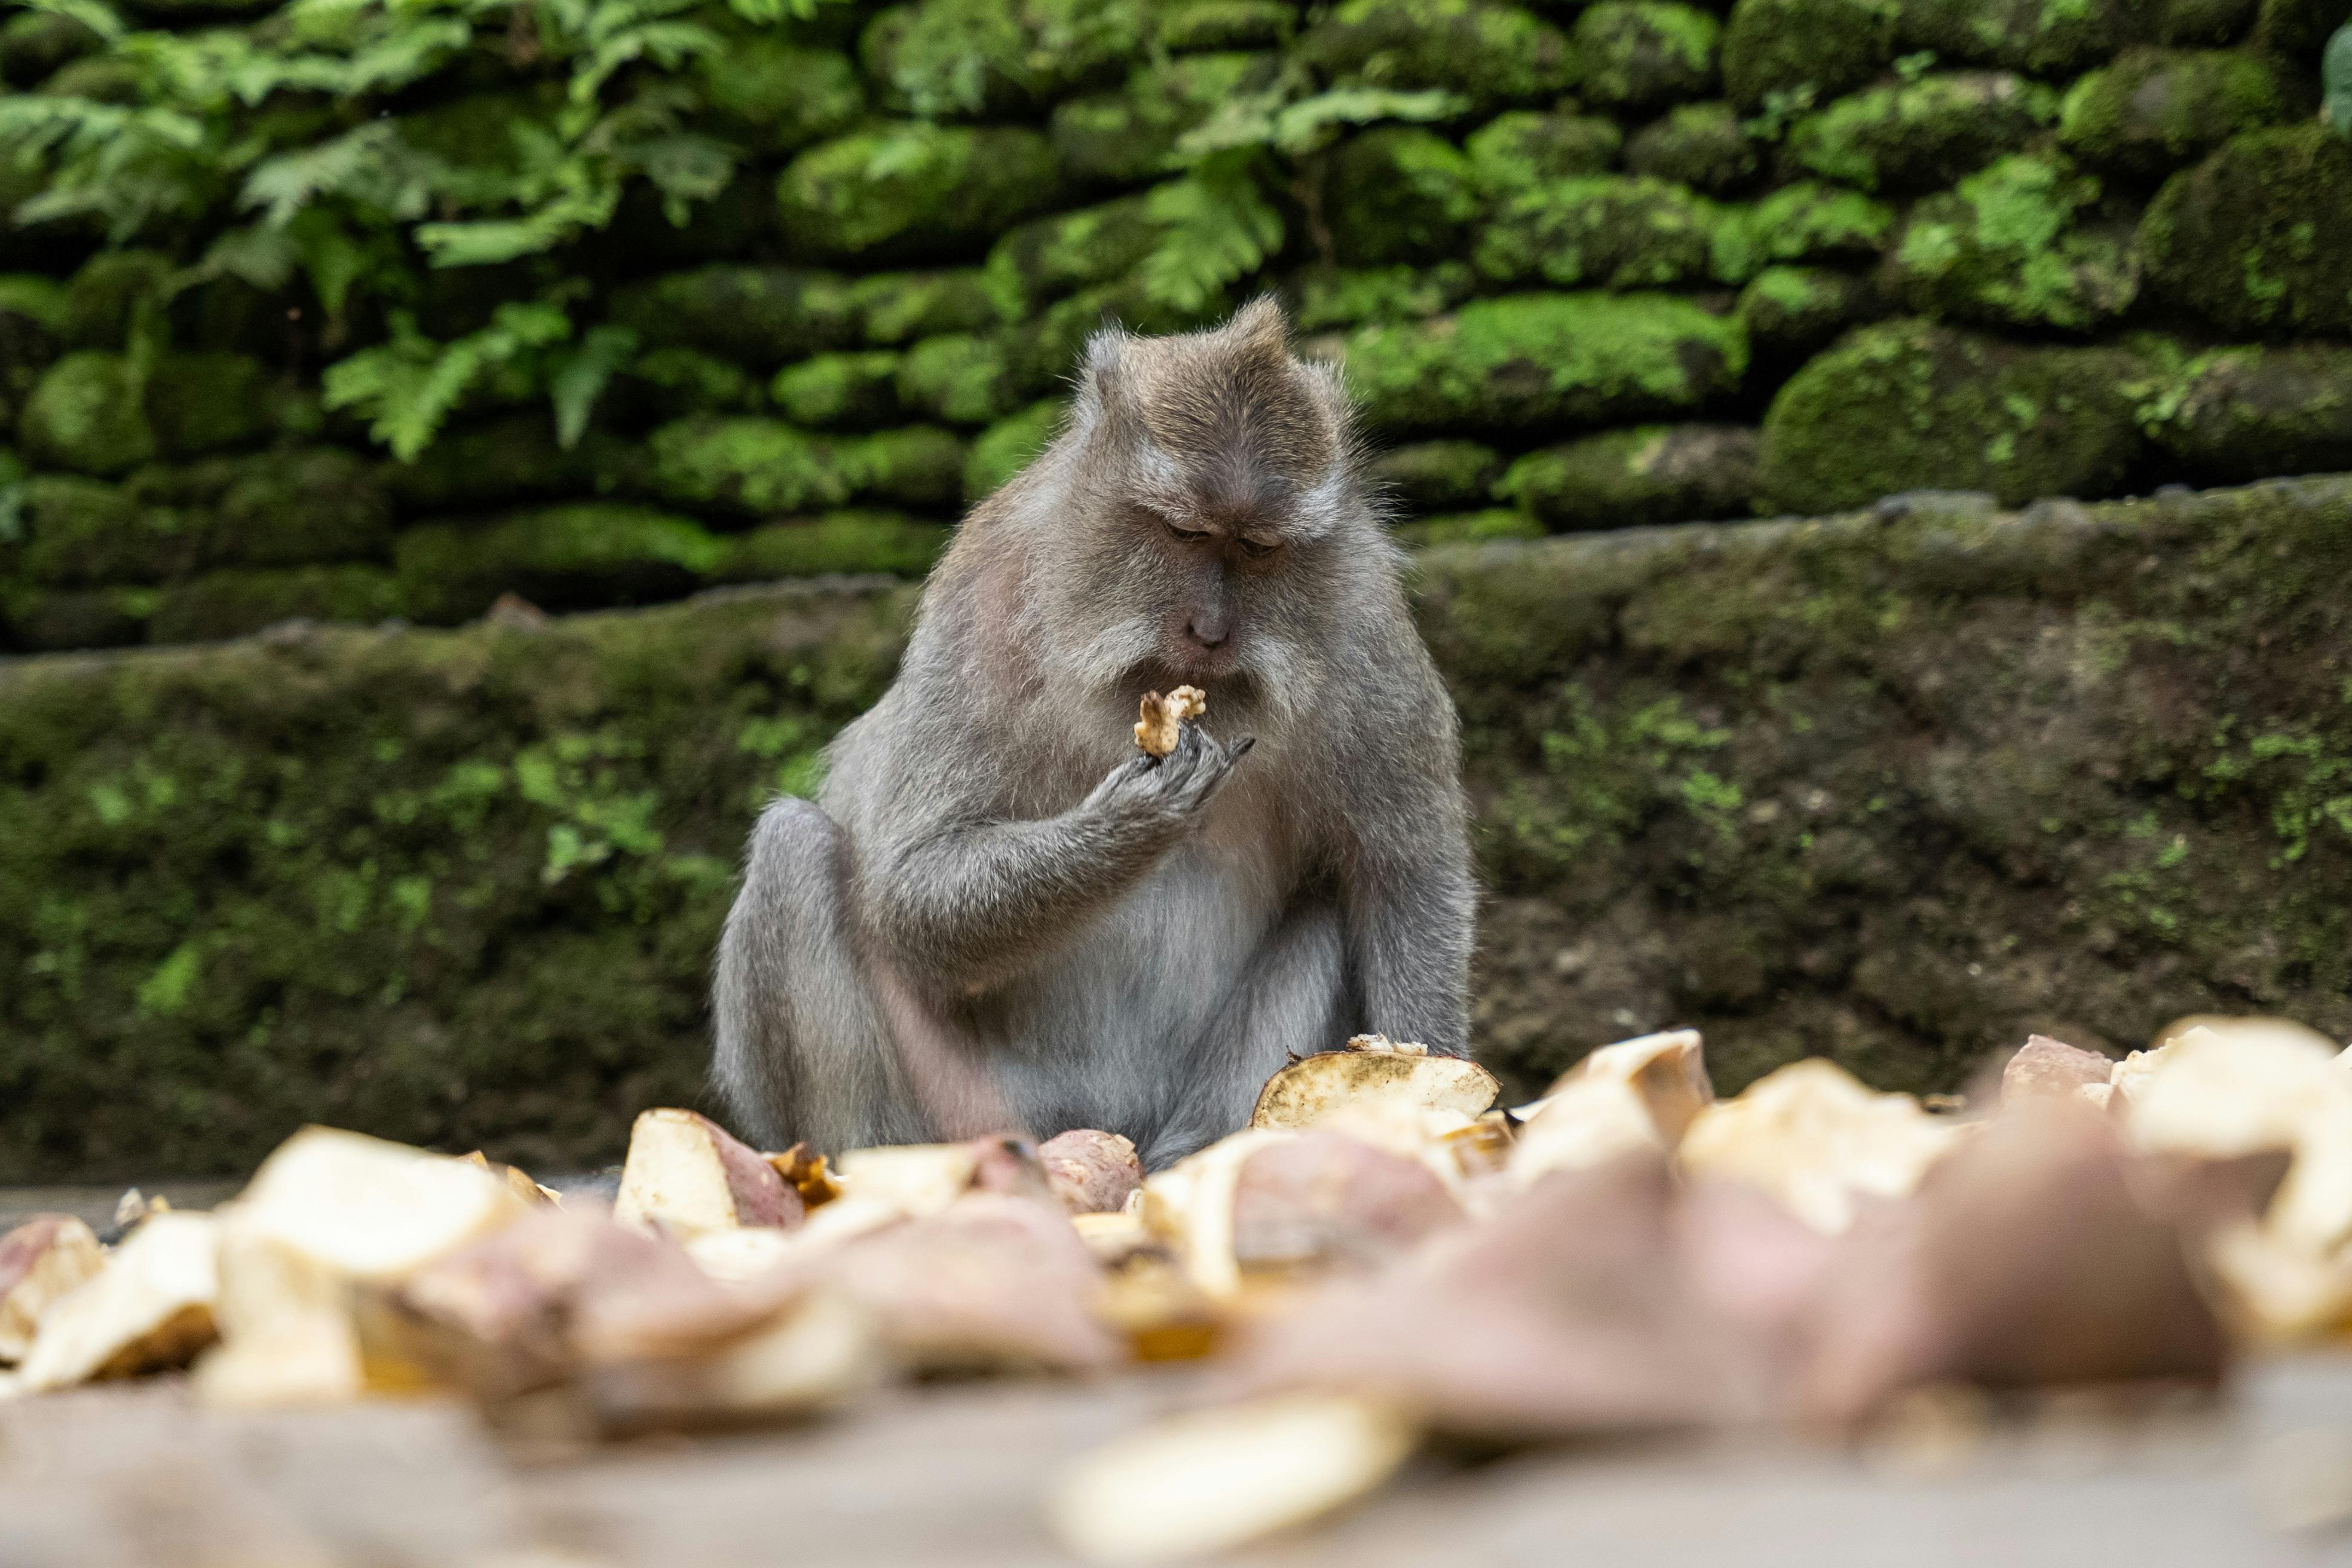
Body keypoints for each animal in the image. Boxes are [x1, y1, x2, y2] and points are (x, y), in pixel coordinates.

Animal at [712, 298, 1474, 1169]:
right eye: (1184, 533)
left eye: (1256, 548)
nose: (1210, 631)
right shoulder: (987, 590)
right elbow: (912, 894)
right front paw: (1132, 822)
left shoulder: (1367, 624)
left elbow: (1404, 874)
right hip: (978, 1108)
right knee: (794, 847)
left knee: (1329, 902)